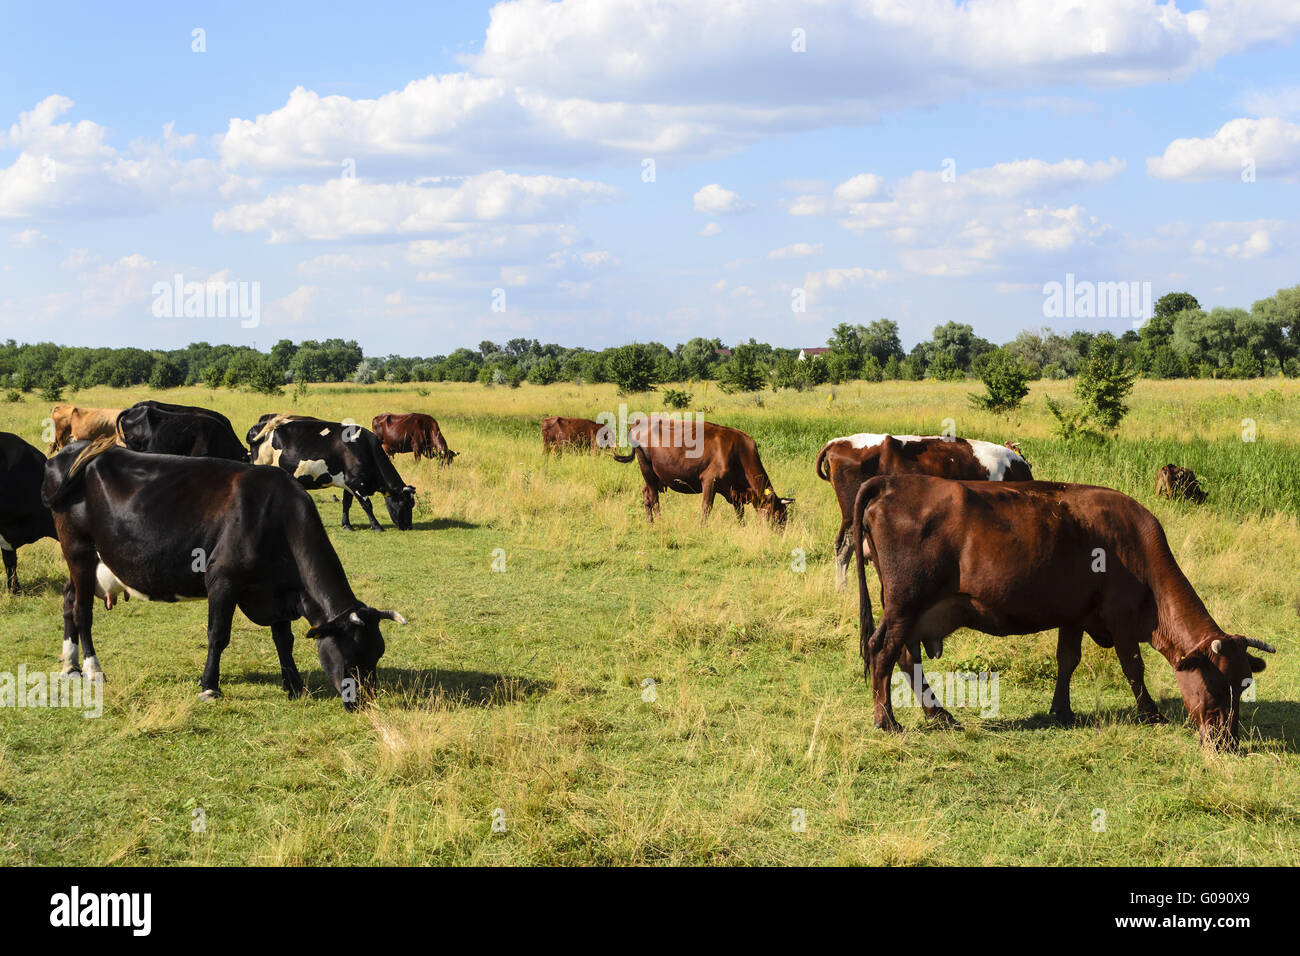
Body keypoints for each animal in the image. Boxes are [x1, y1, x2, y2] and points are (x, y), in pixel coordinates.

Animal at [41, 438, 407, 706]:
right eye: (350, 654)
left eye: (377, 654)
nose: (363, 701)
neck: (275, 516)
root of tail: (73, 451)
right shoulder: (222, 580)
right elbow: (218, 635)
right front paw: (209, 686)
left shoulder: (278, 592)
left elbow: (284, 639)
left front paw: (294, 684)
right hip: (78, 548)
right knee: (82, 611)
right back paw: (92, 668)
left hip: (83, 560)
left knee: (69, 601)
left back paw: (70, 664)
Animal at [248, 415, 416, 531]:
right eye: (405, 503)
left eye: (412, 504)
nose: (408, 526)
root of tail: (259, 426)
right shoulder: (356, 482)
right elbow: (367, 505)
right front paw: (377, 526)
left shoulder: (348, 483)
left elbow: (346, 504)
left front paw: (347, 525)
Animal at [613, 417, 792, 525]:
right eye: (778, 516)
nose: (780, 533)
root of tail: (639, 421)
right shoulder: (709, 480)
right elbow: (707, 506)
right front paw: (702, 527)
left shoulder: (734, 490)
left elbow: (739, 511)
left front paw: (742, 526)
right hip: (647, 469)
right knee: (653, 498)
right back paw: (660, 521)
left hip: (656, 475)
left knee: (646, 494)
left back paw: (650, 522)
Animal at [852, 475, 1275, 748]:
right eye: (1215, 685)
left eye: (1243, 685)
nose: (1227, 743)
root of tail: (893, 482)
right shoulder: (1120, 618)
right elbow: (1133, 666)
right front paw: (1151, 713)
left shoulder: (1074, 615)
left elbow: (1067, 660)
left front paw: (1062, 709)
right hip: (905, 605)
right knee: (882, 651)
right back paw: (887, 720)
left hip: (908, 611)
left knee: (906, 658)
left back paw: (938, 714)